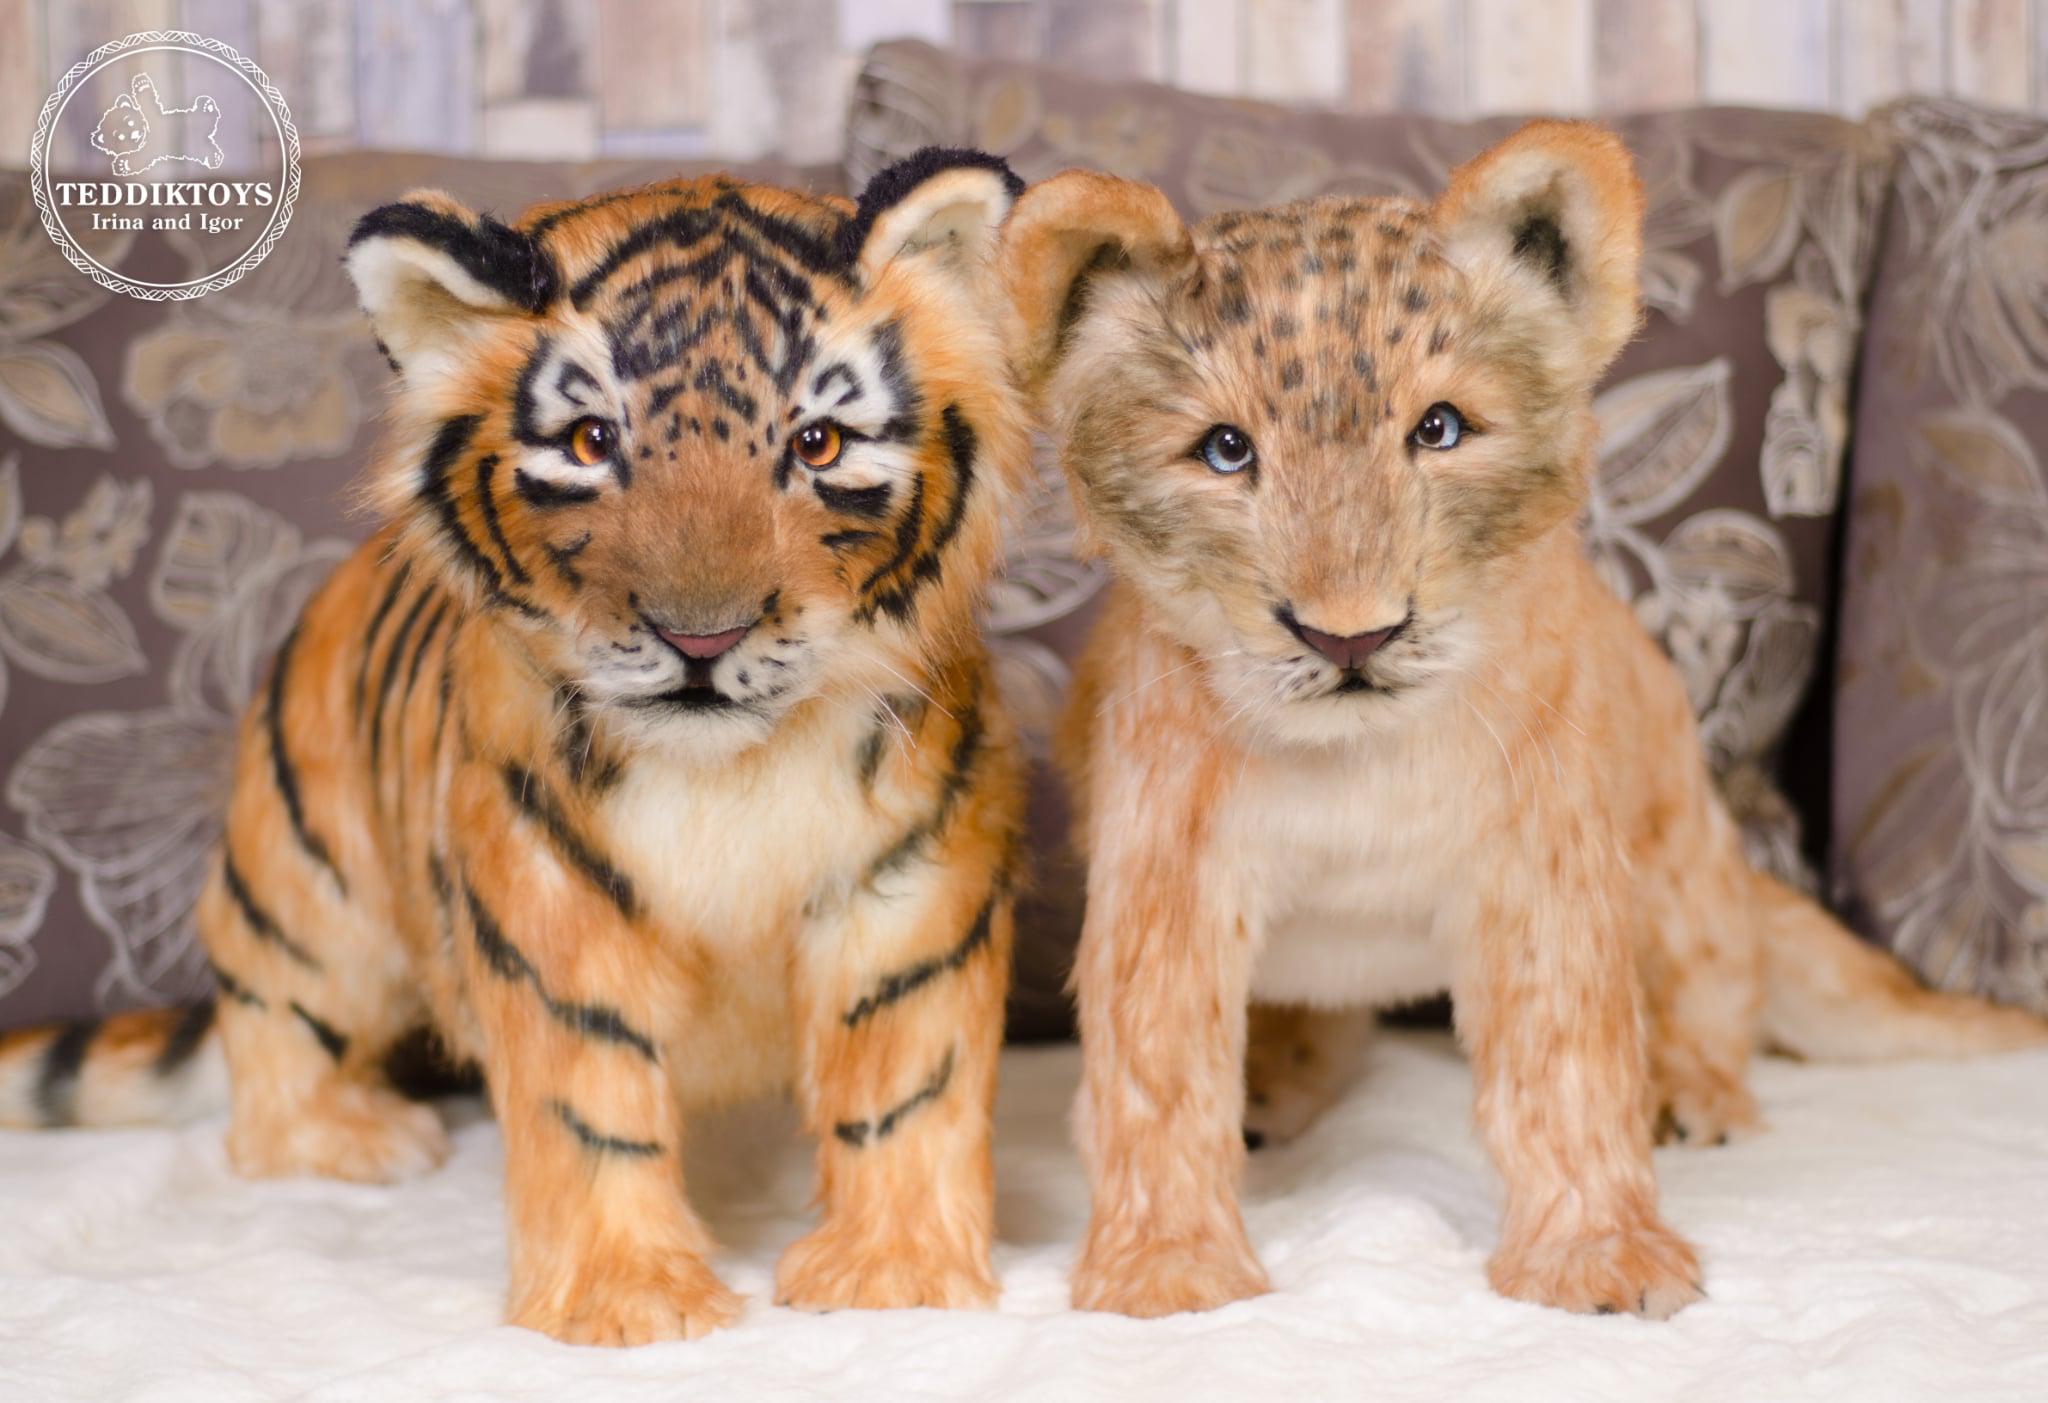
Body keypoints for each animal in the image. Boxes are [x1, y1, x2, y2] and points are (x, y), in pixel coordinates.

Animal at [0, 148, 1034, 1346]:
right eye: (592, 443)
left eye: (814, 442)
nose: (701, 638)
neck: (733, 770)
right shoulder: (546, 900)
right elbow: (587, 1102)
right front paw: (632, 1301)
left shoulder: (913, 884)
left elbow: (904, 1082)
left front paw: (893, 1275)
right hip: (306, 893)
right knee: (274, 1049)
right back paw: (354, 1138)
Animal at [995, 122, 2048, 1321]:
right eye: (1225, 450)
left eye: (1439, 428)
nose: (1350, 638)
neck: (1356, 761)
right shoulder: (1165, 877)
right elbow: (1155, 1066)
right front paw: (1164, 1269)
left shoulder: (1544, 865)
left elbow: (1569, 1059)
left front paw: (1601, 1256)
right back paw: (1273, 1089)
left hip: (1682, 863)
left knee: (1715, 998)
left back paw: (1688, 1094)